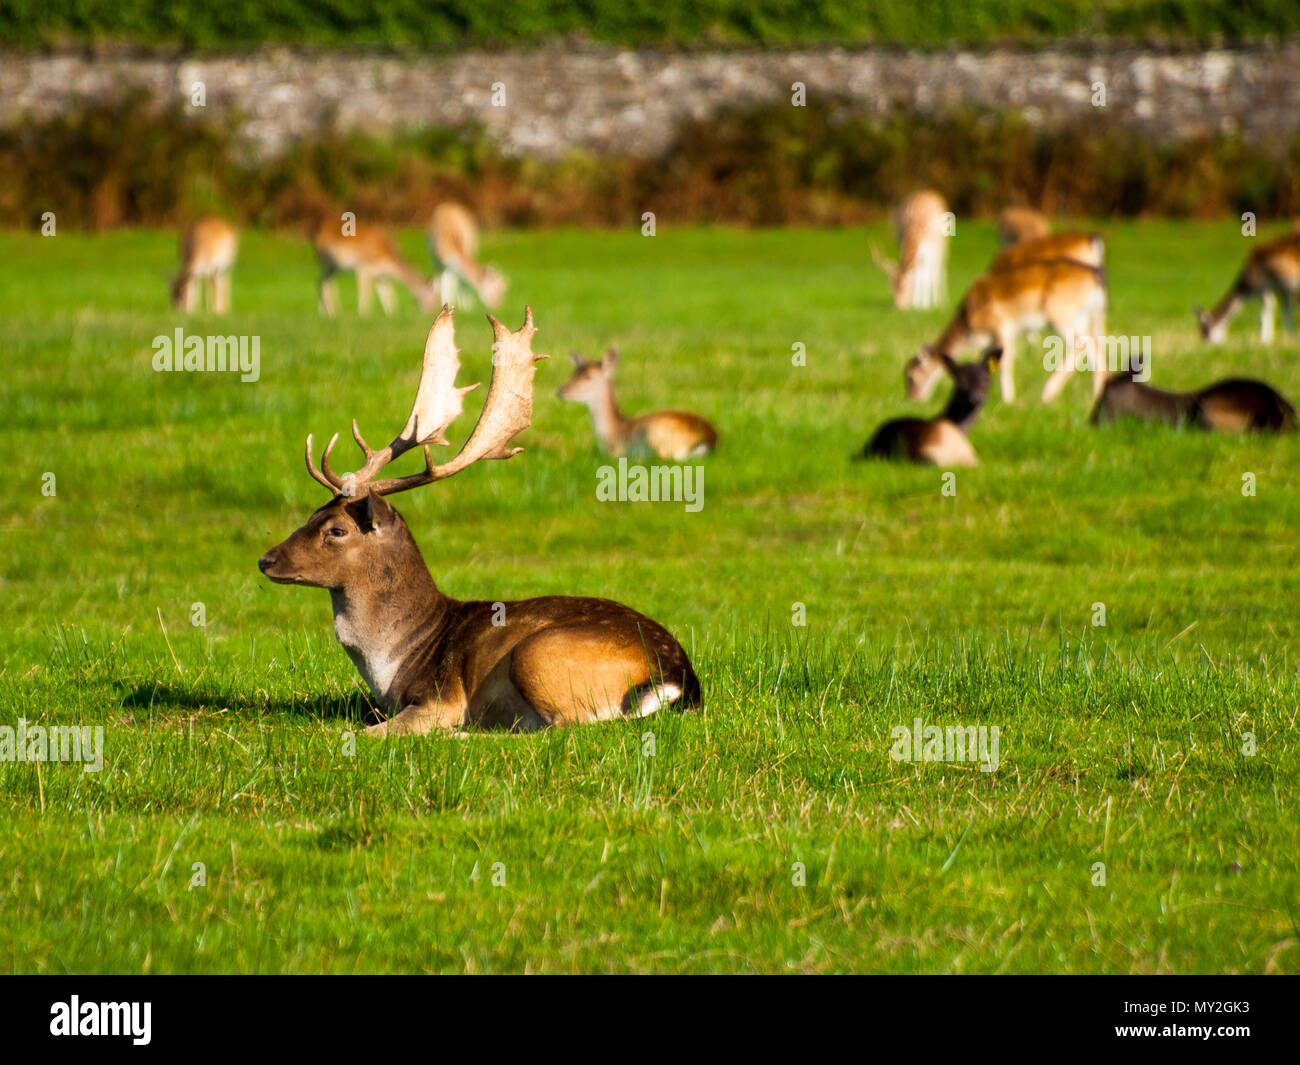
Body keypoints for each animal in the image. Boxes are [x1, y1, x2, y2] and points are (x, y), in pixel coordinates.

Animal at [258, 307, 701, 735]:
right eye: (311, 514)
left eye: (336, 529)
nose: (266, 560)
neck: (396, 661)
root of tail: (675, 678)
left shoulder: (439, 696)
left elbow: (373, 731)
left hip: (537, 654)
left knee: (564, 727)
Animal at [557, 349, 718, 461]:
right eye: (572, 374)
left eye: (588, 377)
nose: (560, 390)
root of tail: (709, 440)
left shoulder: (616, 451)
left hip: (656, 433)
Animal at [904, 260, 1108, 406]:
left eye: (911, 378)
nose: (913, 400)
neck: (969, 328)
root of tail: (1097, 279)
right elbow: (985, 362)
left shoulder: (1001, 327)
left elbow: (1004, 362)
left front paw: (1008, 400)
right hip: (1086, 318)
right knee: (1096, 347)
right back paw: (1095, 398)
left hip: (1059, 312)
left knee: (1080, 344)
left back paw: (1047, 394)